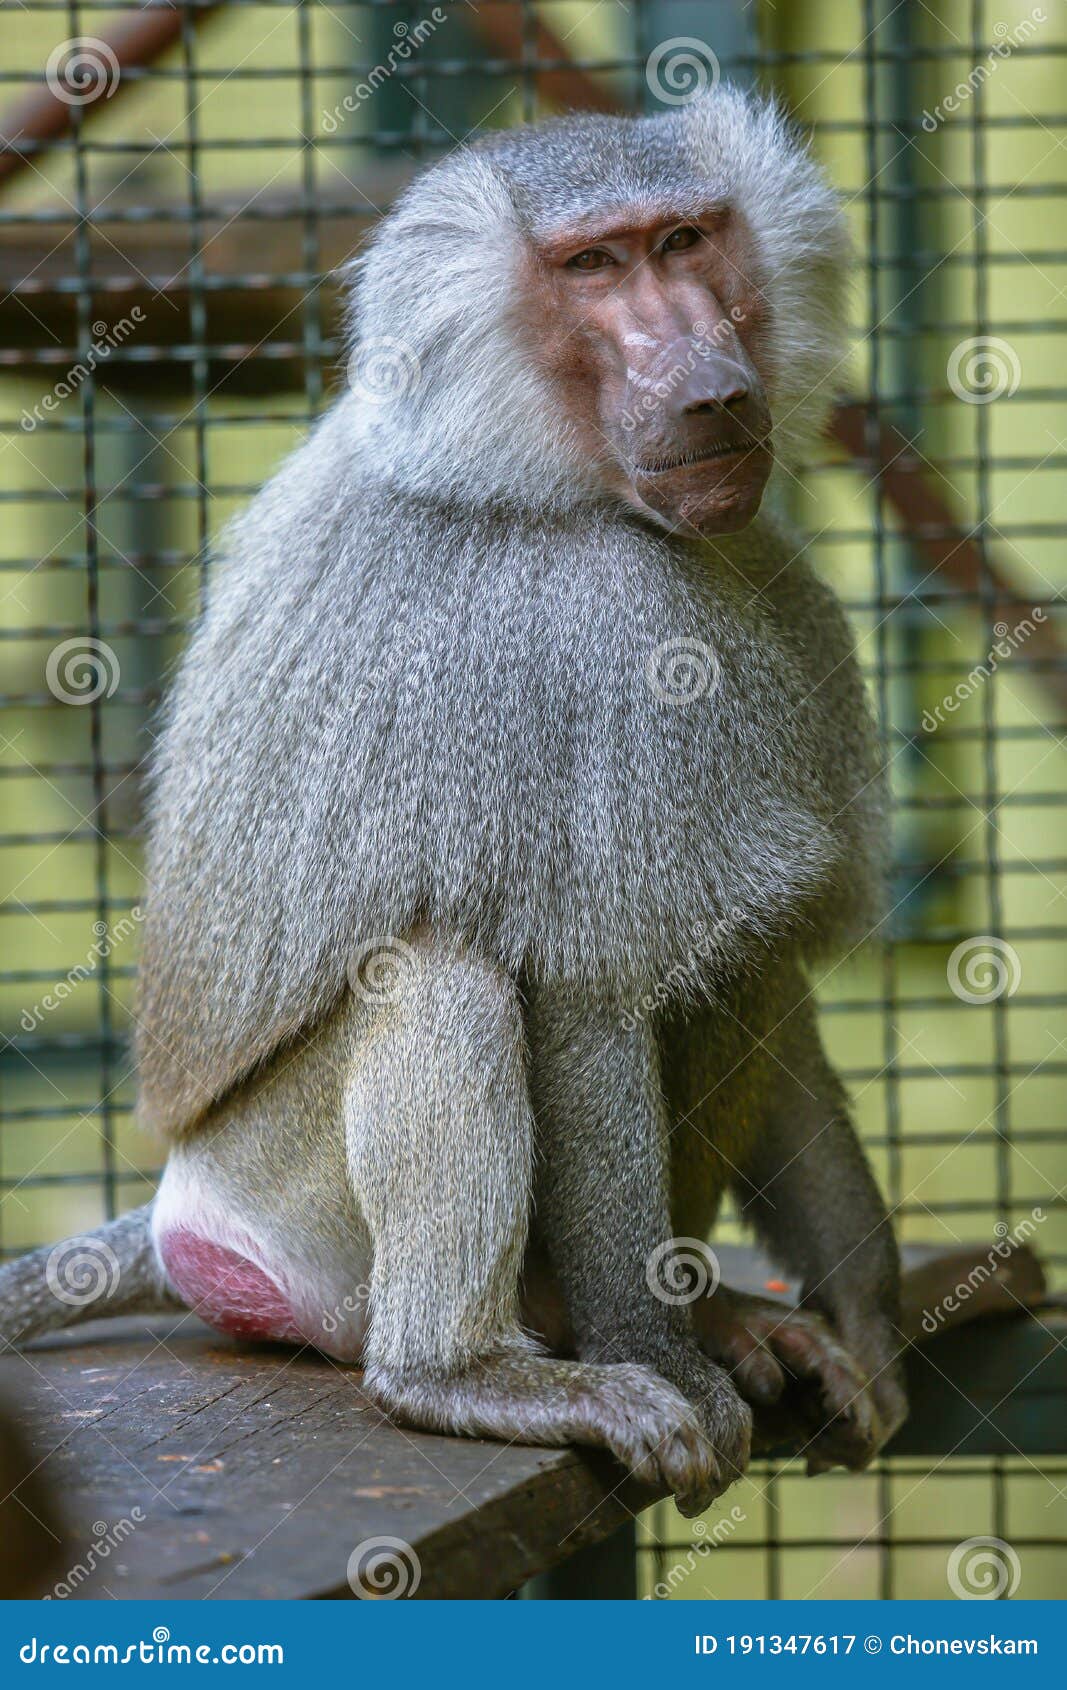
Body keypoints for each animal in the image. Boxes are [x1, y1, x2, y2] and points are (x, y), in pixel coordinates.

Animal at [0, 88, 907, 1518]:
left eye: (687, 239)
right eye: (593, 267)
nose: (707, 381)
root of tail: (176, 1206)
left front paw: (865, 1319)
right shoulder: (603, 632)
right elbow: (590, 986)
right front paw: (659, 1363)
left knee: (743, 955)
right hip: (291, 1215)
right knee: (434, 970)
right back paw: (471, 1372)